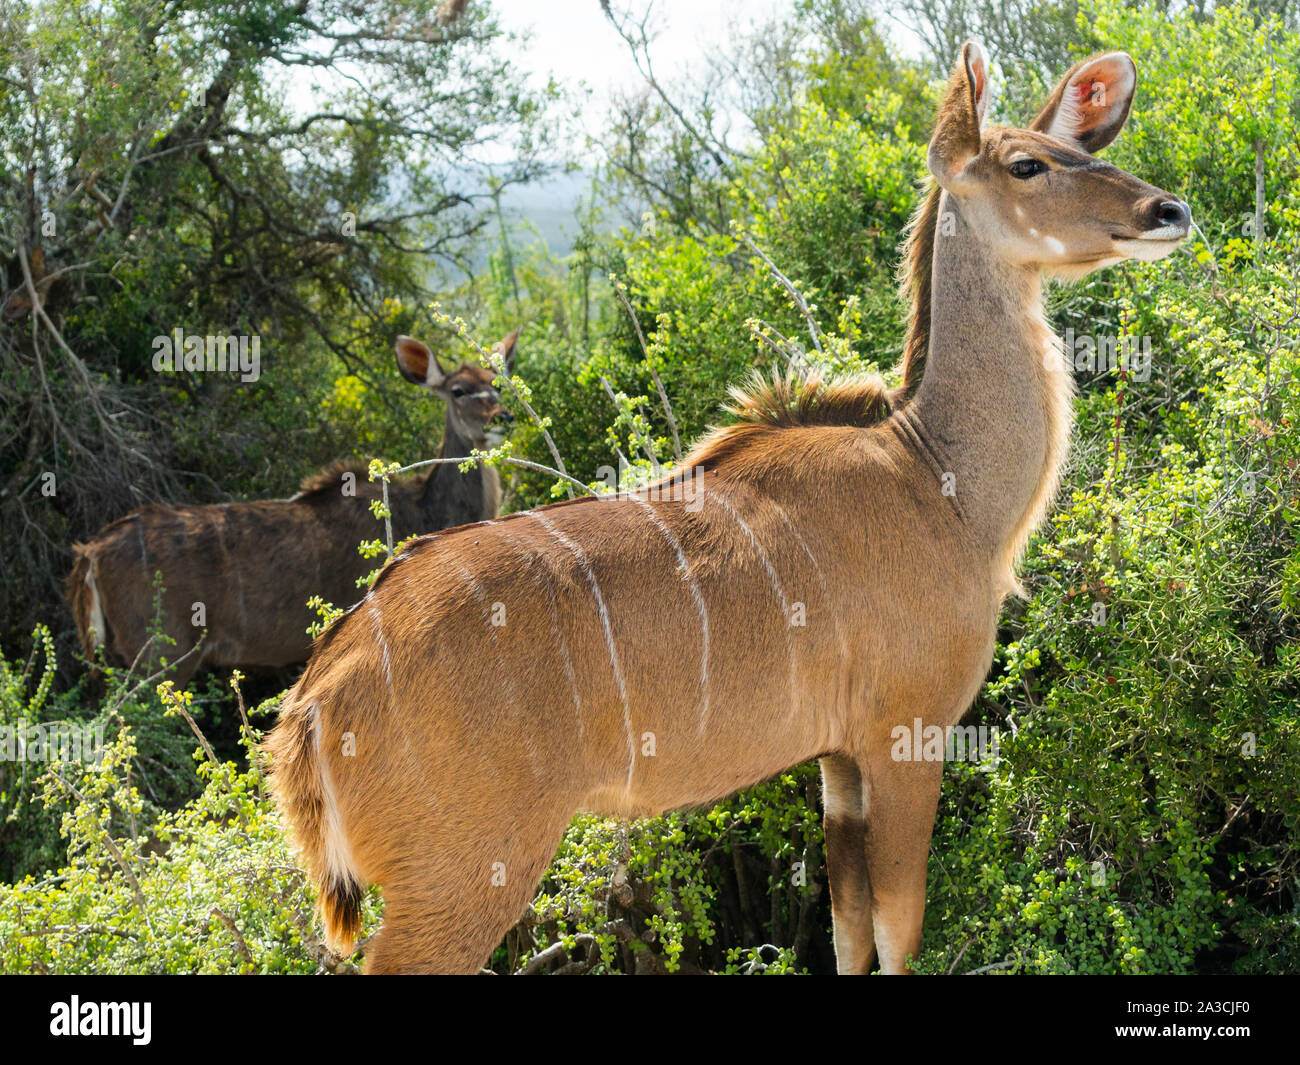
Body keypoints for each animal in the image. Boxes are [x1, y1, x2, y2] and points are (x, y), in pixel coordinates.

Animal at [66, 329, 519, 689]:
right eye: (458, 390)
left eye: (498, 383)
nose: (504, 417)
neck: (423, 508)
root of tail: (92, 552)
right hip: (162, 654)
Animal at [265, 45, 1190, 974]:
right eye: (1027, 164)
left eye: (1073, 147)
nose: (1169, 210)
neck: (935, 476)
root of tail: (315, 699)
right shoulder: (905, 735)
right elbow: (900, 928)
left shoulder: (837, 759)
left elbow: (849, 926)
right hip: (463, 880)